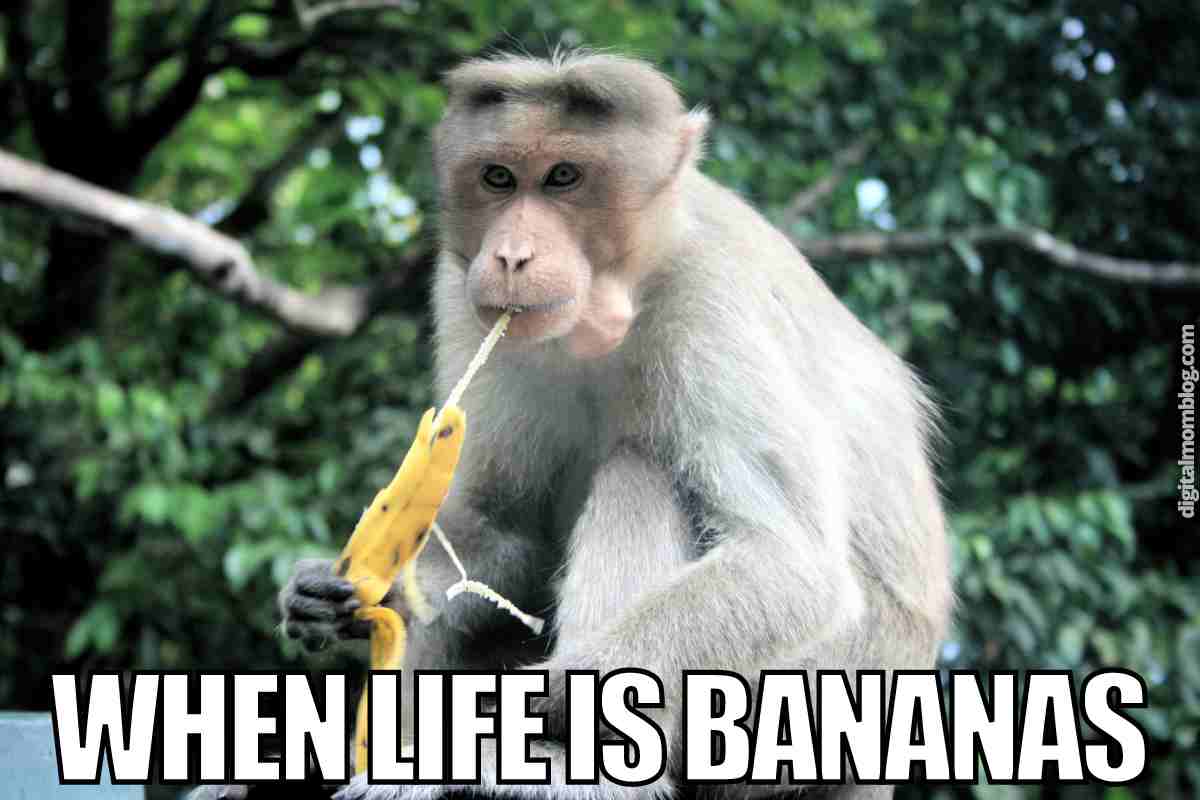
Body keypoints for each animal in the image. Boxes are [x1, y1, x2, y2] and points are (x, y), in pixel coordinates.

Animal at [200, 50, 951, 800]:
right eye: (498, 177)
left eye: (565, 177)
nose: (511, 256)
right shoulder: (461, 293)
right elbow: (507, 528)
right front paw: (336, 594)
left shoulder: (714, 299)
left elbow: (791, 562)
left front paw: (527, 707)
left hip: (808, 703)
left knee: (642, 471)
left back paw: (567, 766)